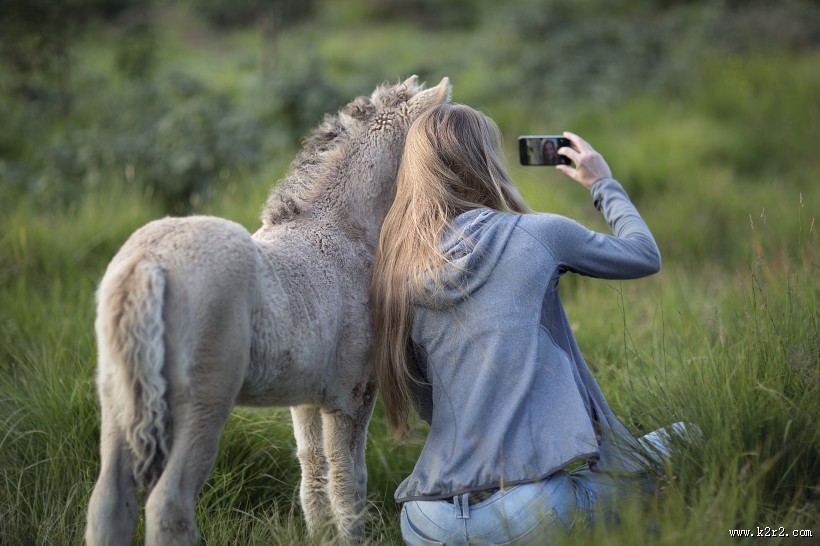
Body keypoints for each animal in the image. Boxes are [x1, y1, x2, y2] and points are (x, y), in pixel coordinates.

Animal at [85, 75, 452, 545]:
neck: (345, 232)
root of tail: (149, 261)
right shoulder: (351, 394)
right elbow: (349, 479)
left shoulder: (308, 397)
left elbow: (314, 469)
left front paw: (320, 536)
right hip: (202, 406)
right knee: (168, 504)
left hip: (118, 398)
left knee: (108, 502)